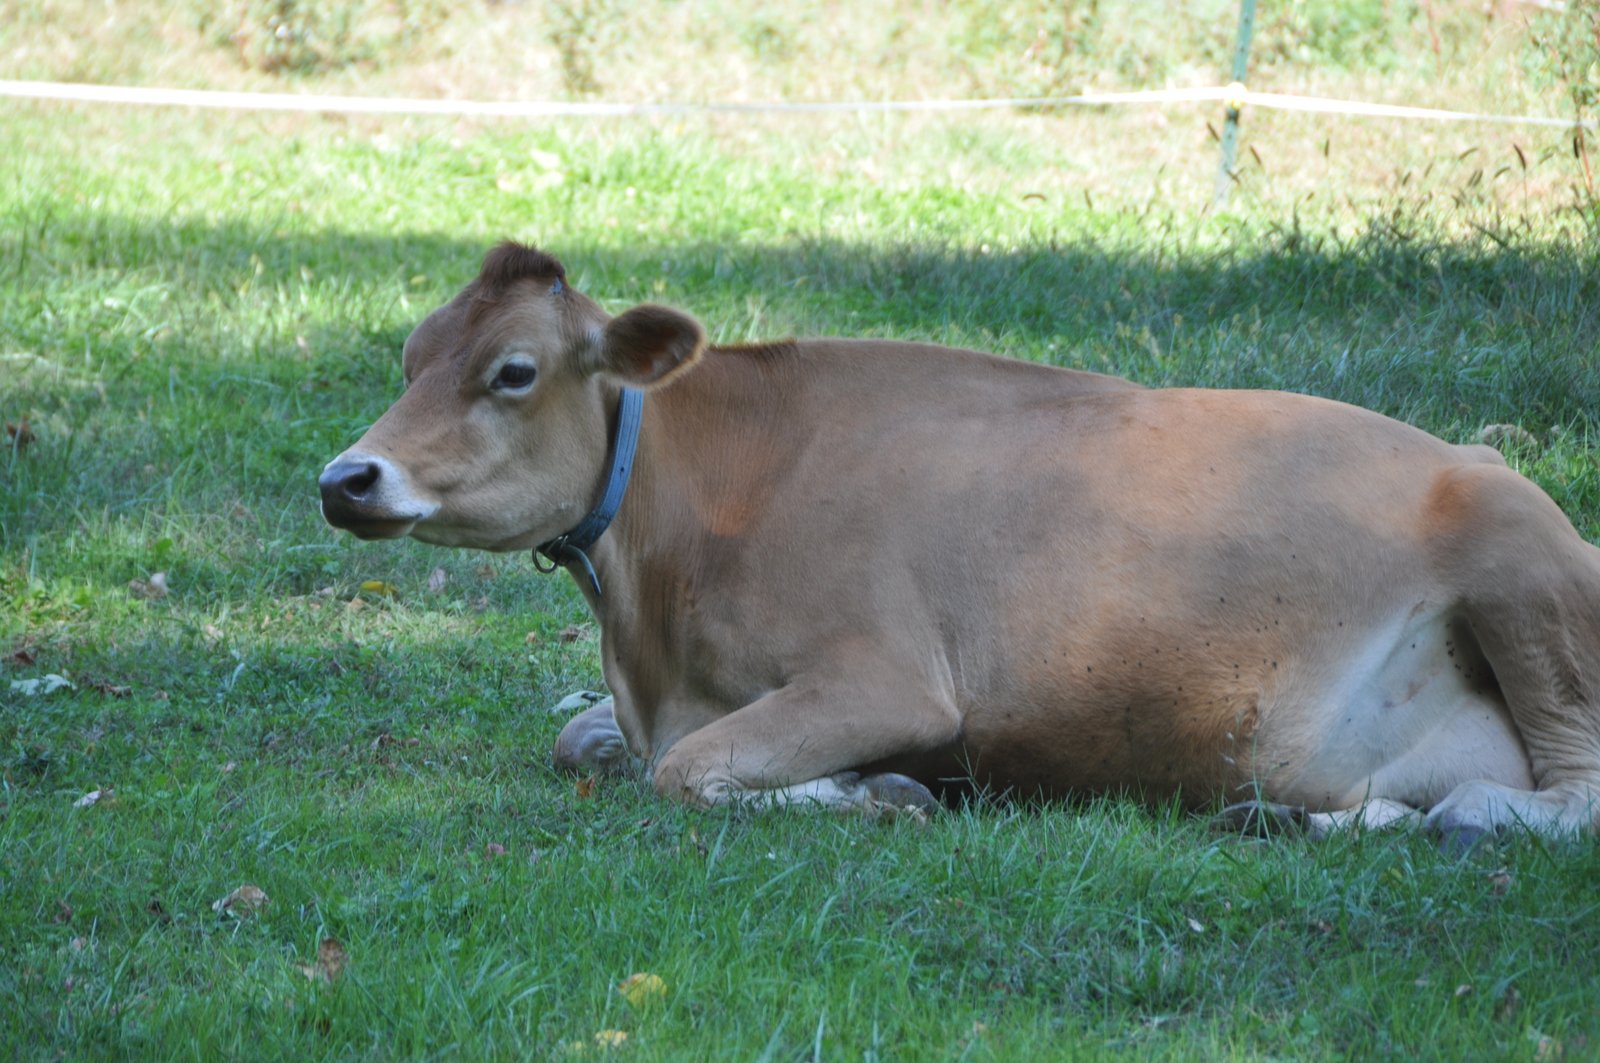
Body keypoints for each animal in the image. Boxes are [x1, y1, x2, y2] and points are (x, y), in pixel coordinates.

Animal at [319, 242, 1600, 846]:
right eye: (411, 355)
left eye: (512, 371)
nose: (345, 477)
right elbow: (579, 740)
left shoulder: (885, 676)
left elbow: (687, 770)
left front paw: (875, 792)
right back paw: (1293, 814)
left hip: (1521, 563)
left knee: (1559, 795)